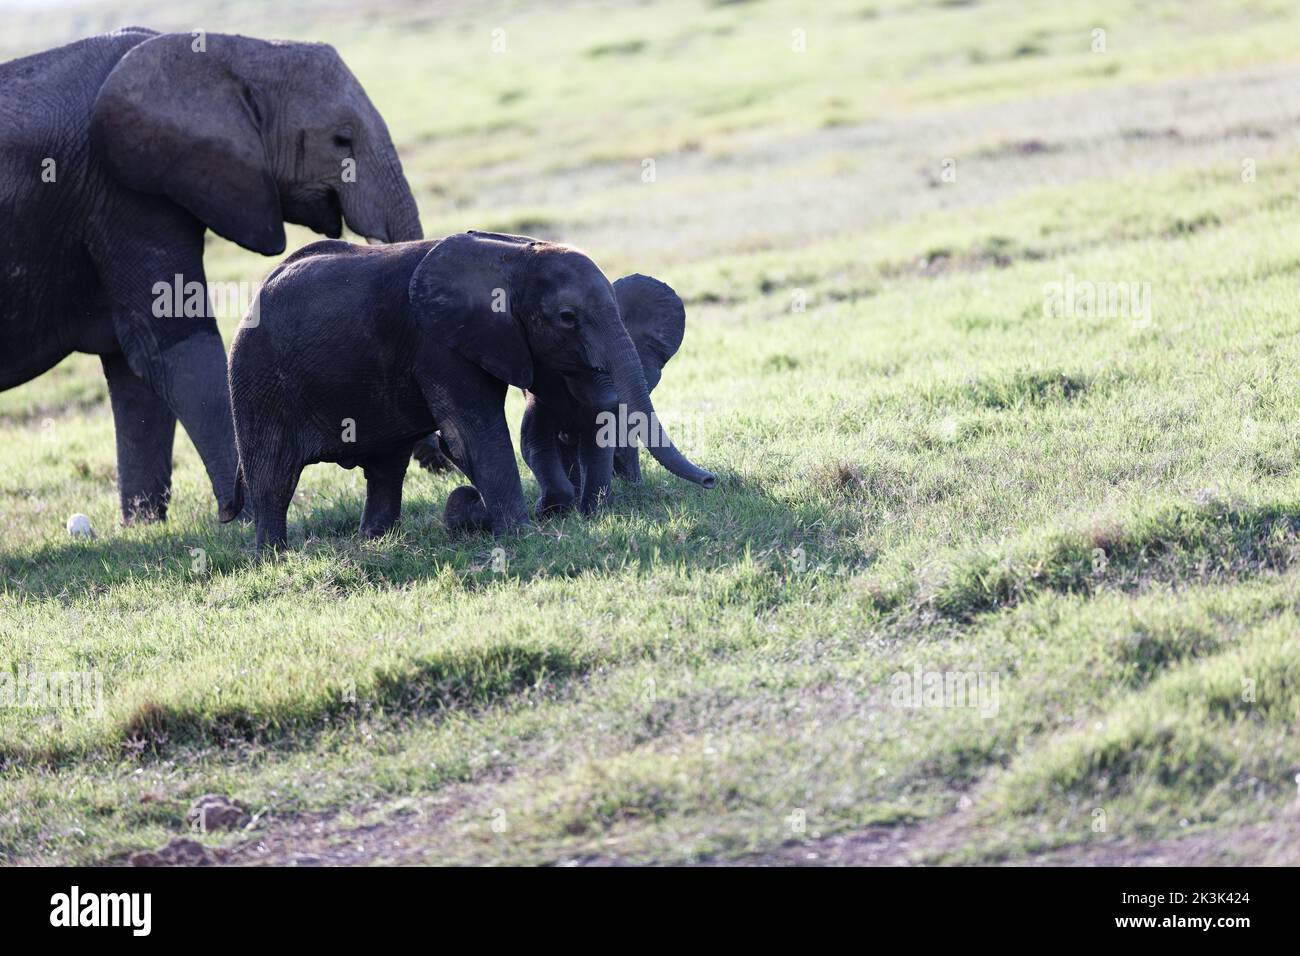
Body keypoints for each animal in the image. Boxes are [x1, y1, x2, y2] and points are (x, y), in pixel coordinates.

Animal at [0, 28, 422, 523]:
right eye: (341, 141)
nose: (433, 462)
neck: (228, 54)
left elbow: (135, 366)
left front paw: (144, 524)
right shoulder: (125, 192)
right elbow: (175, 345)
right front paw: (241, 515)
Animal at [228, 231, 715, 551]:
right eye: (567, 318)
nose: (711, 481)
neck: (512, 257)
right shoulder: (436, 342)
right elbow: (471, 435)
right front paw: (520, 532)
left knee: (386, 468)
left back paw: (375, 541)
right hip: (256, 380)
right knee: (273, 477)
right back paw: (274, 557)